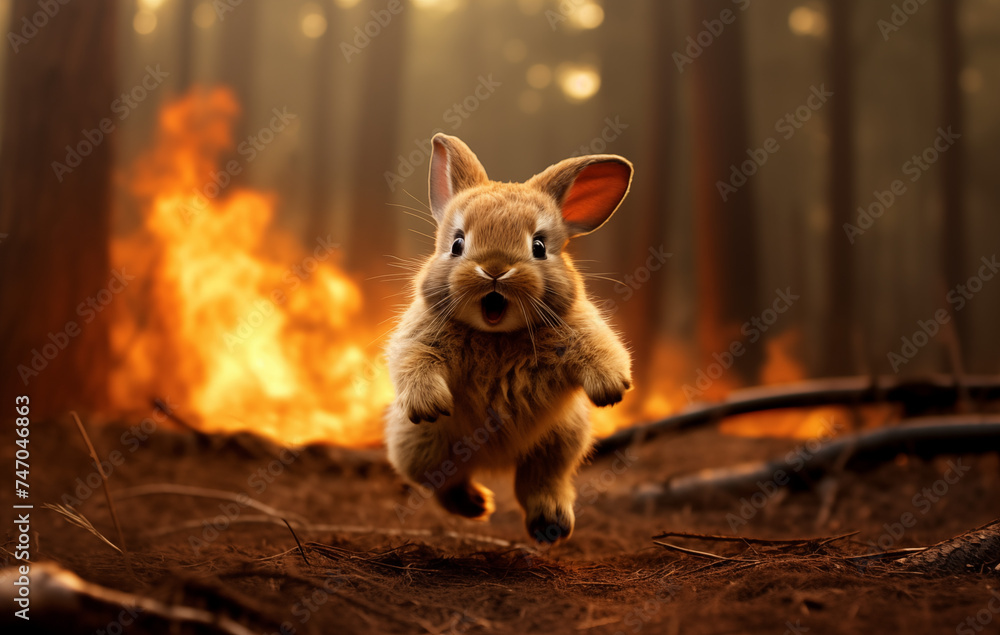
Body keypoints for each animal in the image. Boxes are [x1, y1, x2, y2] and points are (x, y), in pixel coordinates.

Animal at [385, 133, 633, 544]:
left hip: (563, 438)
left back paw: (549, 525)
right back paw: (479, 505)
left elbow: (601, 348)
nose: (495, 269)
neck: (496, 334)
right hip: (422, 446)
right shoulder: (419, 339)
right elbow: (413, 358)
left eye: (539, 247)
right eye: (457, 244)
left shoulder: (583, 329)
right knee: (444, 484)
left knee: (541, 481)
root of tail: (493, 461)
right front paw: (430, 403)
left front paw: (611, 390)